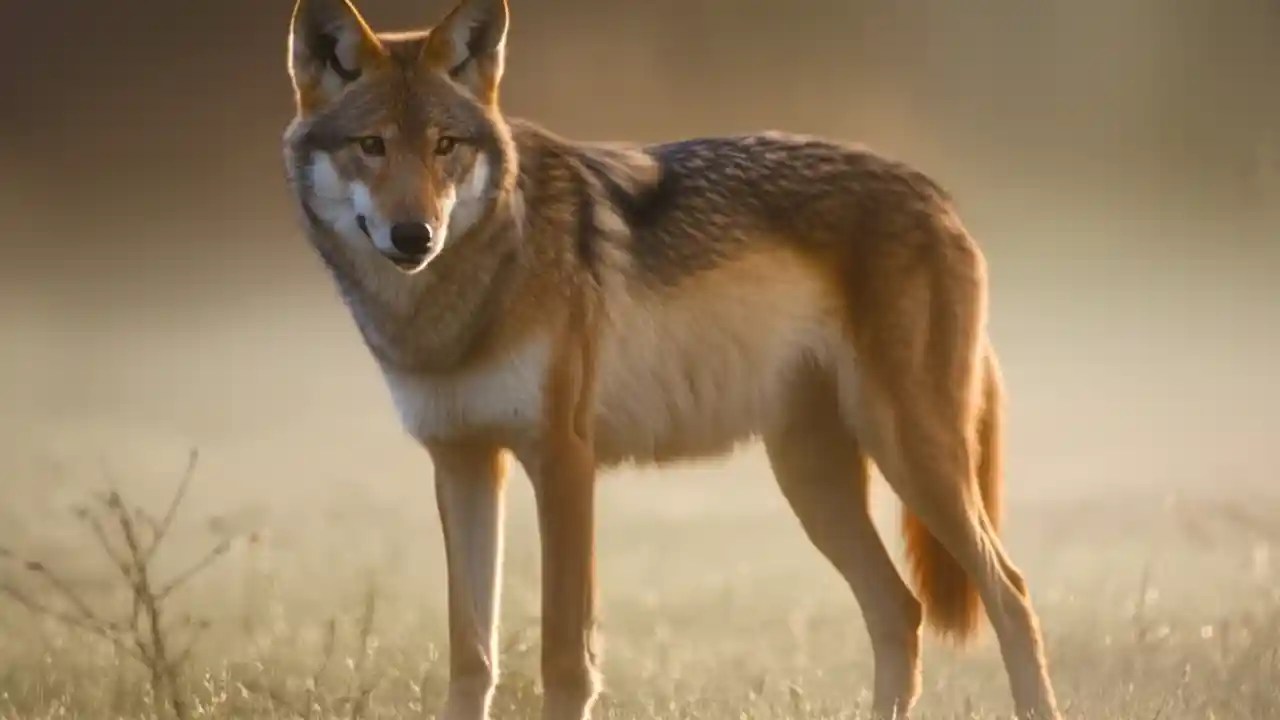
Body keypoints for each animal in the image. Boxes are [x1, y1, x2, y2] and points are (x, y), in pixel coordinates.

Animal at [281, 1, 1062, 718]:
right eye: (372, 145)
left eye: (445, 145)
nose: (414, 235)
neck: (456, 303)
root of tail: (940, 197)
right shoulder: (463, 464)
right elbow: (472, 656)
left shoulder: (564, 462)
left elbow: (563, 659)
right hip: (815, 481)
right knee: (900, 610)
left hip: (912, 459)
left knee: (1012, 595)